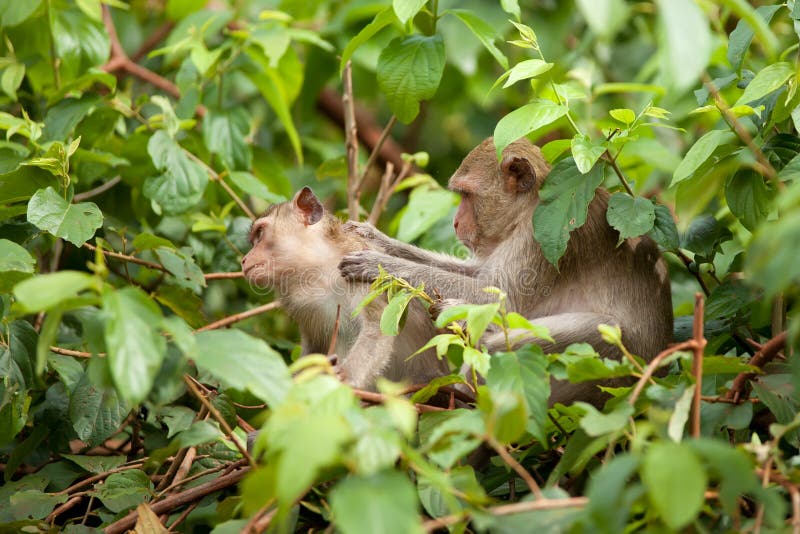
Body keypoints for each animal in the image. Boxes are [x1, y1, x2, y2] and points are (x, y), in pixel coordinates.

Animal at [241, 186, 449, 392]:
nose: (244, 259)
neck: (319, 271)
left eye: (260, 233)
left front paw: (346, 376)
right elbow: (314, 346)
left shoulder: (359, 271)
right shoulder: (297, 301)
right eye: (254, 239)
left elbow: (377, 326)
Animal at [338, 137, 674, 406]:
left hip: (612, 372)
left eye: (467, 195)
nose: (456, 222)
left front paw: (379, 266)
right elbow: (479, 276)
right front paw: (376, 239)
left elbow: (502, 297)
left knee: (597, 331)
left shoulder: (545, 234)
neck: (528, 210)